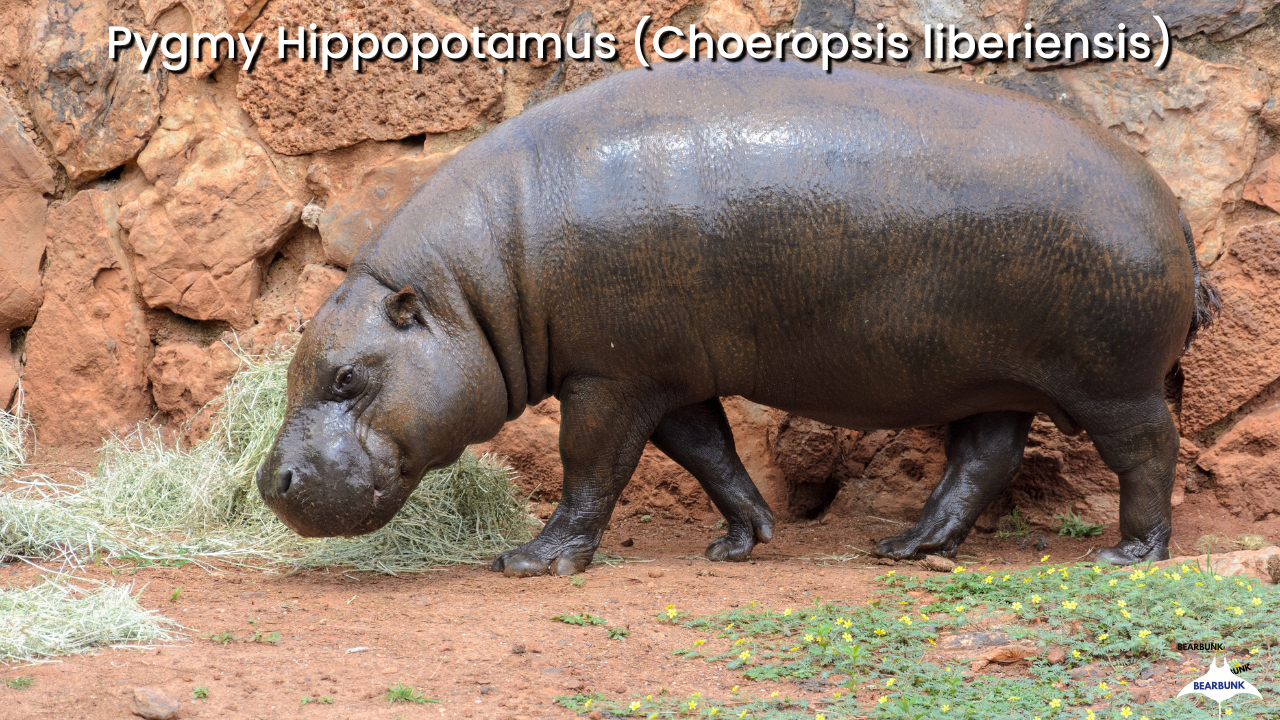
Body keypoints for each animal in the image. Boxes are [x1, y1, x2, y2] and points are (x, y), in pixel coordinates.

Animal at [256, 60, 1218, 577]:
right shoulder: (668, 375)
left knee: (1147, 450)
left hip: (1110, 380)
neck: (476, 287)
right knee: (982, 458)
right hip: (992, 378)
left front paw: (531, 562)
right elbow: (709, 453)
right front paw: (742, 542)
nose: (272, 483)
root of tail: (1174, 205)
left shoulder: (610, 377)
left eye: (348, 376)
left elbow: (589, 466)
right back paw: (902, 549)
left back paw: (1129, 555)